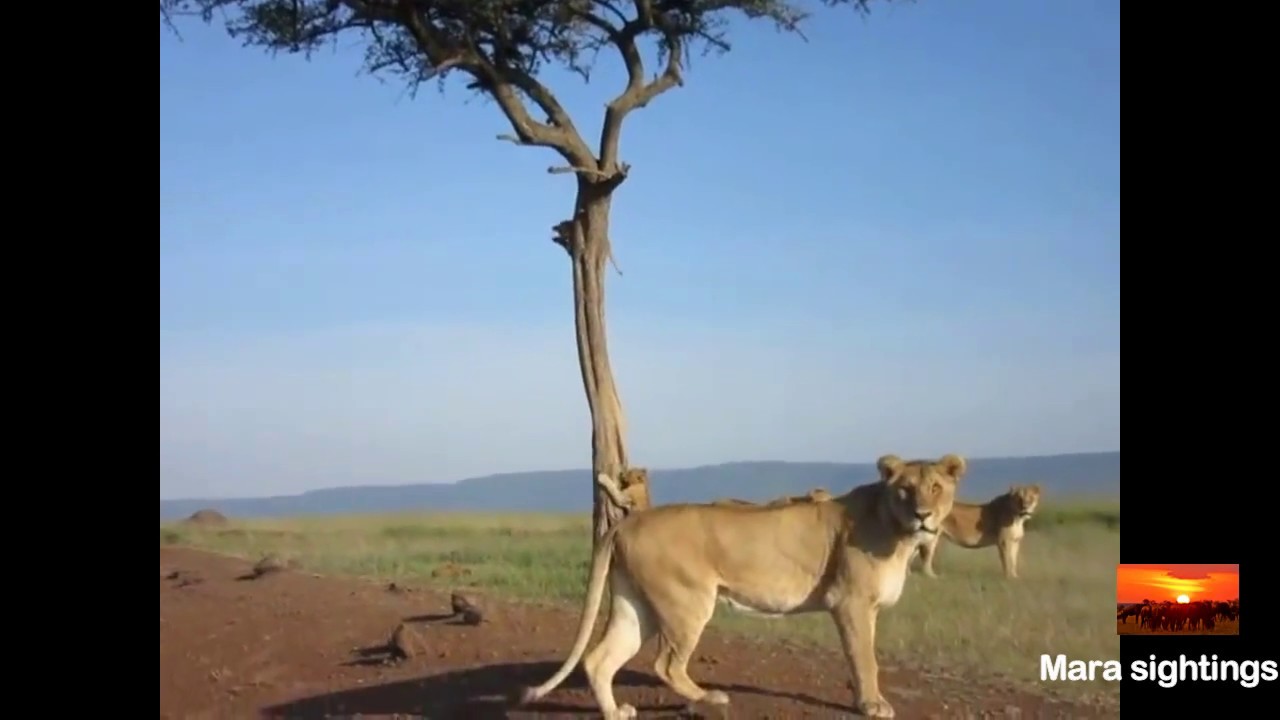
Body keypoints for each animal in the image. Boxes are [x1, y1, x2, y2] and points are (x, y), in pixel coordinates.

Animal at [517, 453, 968, 719]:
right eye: (905, 490)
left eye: (936, 488)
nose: (924, 515)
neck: (899, 535)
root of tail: (628, 521)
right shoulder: (850, 603)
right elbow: (865, 659)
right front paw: (872, 704)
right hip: (686, 603)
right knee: (666, 664)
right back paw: (710, 698)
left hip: (636, 607)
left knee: (600, 659)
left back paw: (615, 713)